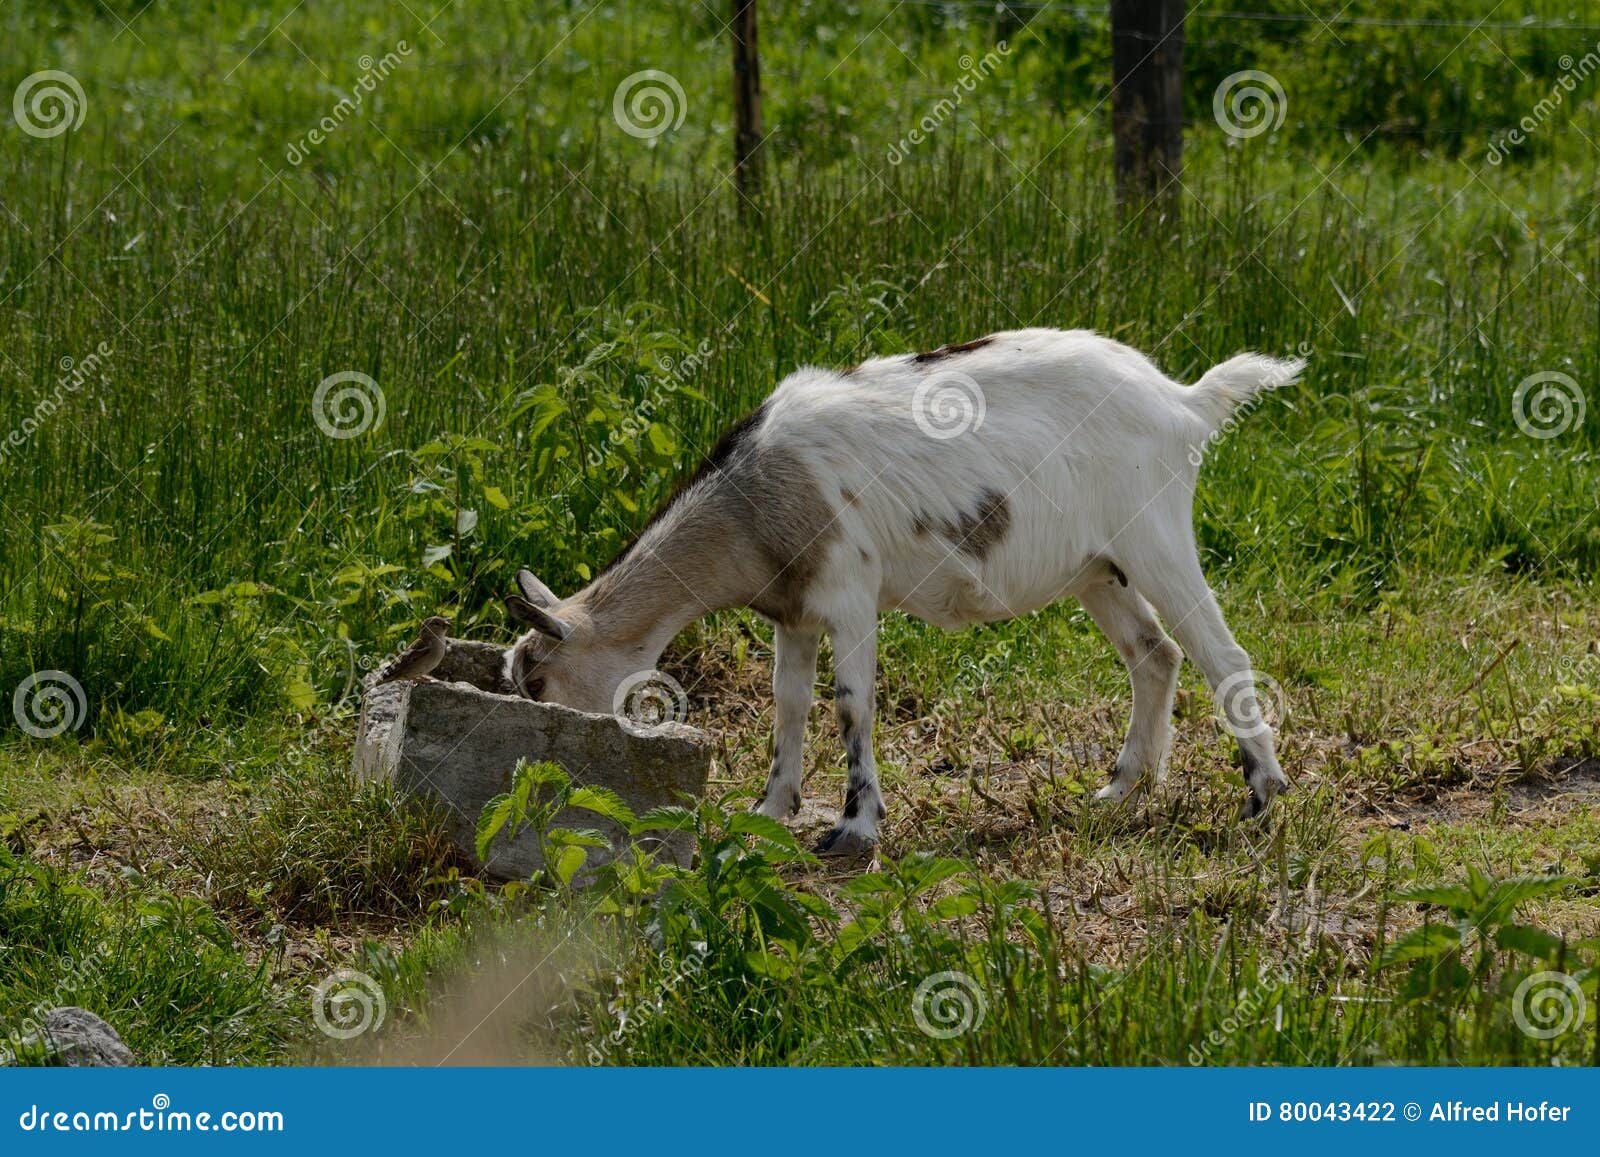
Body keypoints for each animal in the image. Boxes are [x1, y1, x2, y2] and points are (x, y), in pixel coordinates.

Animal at [505, 328, 1303, 855]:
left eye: (538, 680)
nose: (543, 778)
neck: (758, 496)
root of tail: (1184, 401)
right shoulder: (793, 611)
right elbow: (788, 703)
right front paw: (770, 807)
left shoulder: (851, 592)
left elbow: (851, 703)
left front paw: (855, 828)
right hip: (1098, 567)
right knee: (1155, 654)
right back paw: (1122, 787)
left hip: (1154, 534)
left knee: (1222, 653)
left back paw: (1264, 794)